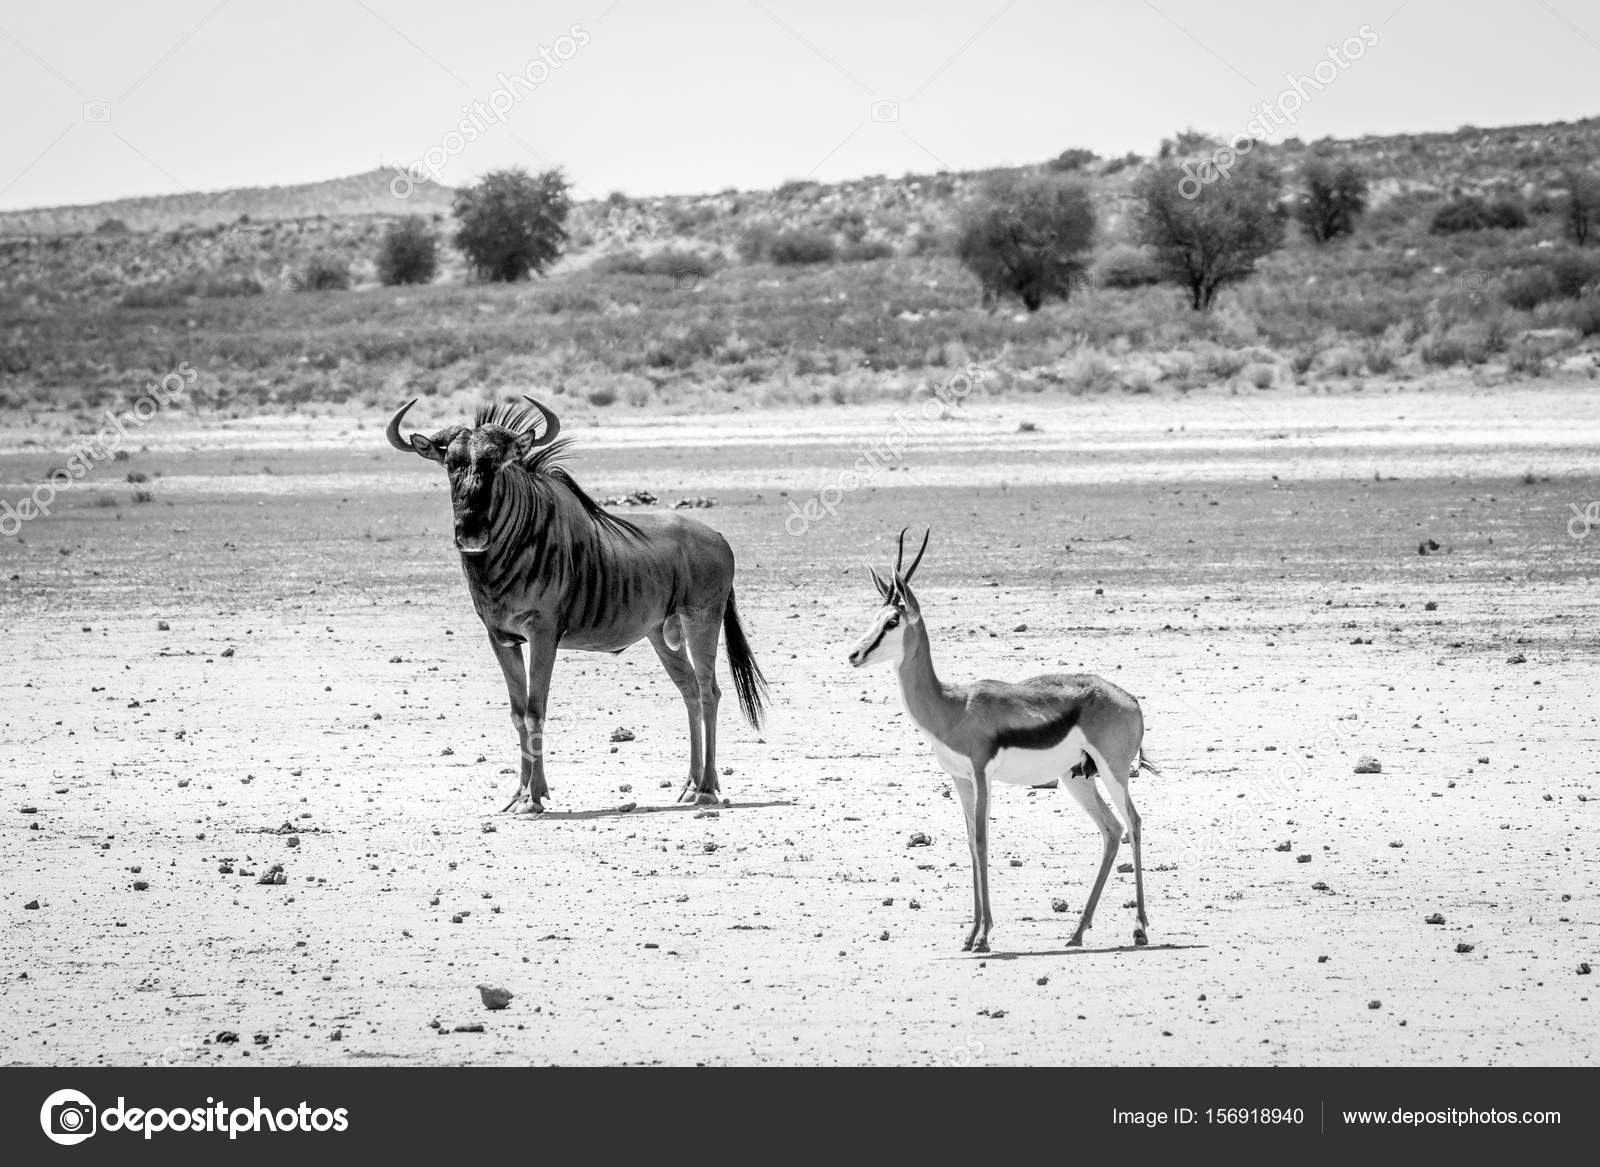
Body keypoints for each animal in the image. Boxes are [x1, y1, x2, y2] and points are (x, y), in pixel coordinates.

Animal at [387, 396, 768, 813]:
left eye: (495, 463)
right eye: (451, 464)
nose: (470, 532)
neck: (512, 546)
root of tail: (718, 536)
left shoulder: (543, 634)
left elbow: (535, 711)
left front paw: (535, 798)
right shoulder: (501, 638)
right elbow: (518, 714)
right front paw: (517, 795)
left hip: (702, 620)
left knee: (709, 691)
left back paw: (707, 789)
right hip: (661, 635)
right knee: (690, 693)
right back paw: (688, 786)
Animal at [847, 529, 1157, 953]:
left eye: (892, 620)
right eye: (874, 617)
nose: (854, 654)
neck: (953, 706)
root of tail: (1132, 700)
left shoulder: (981, 774)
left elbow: (981, 840)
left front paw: (983, 937)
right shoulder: (960, 779)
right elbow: (969, 844)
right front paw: (969, 935)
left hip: (1113, 771)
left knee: (1135, 822)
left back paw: (1140, 929)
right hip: (1075, 778)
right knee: (1112, 830)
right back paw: (1076, 933)